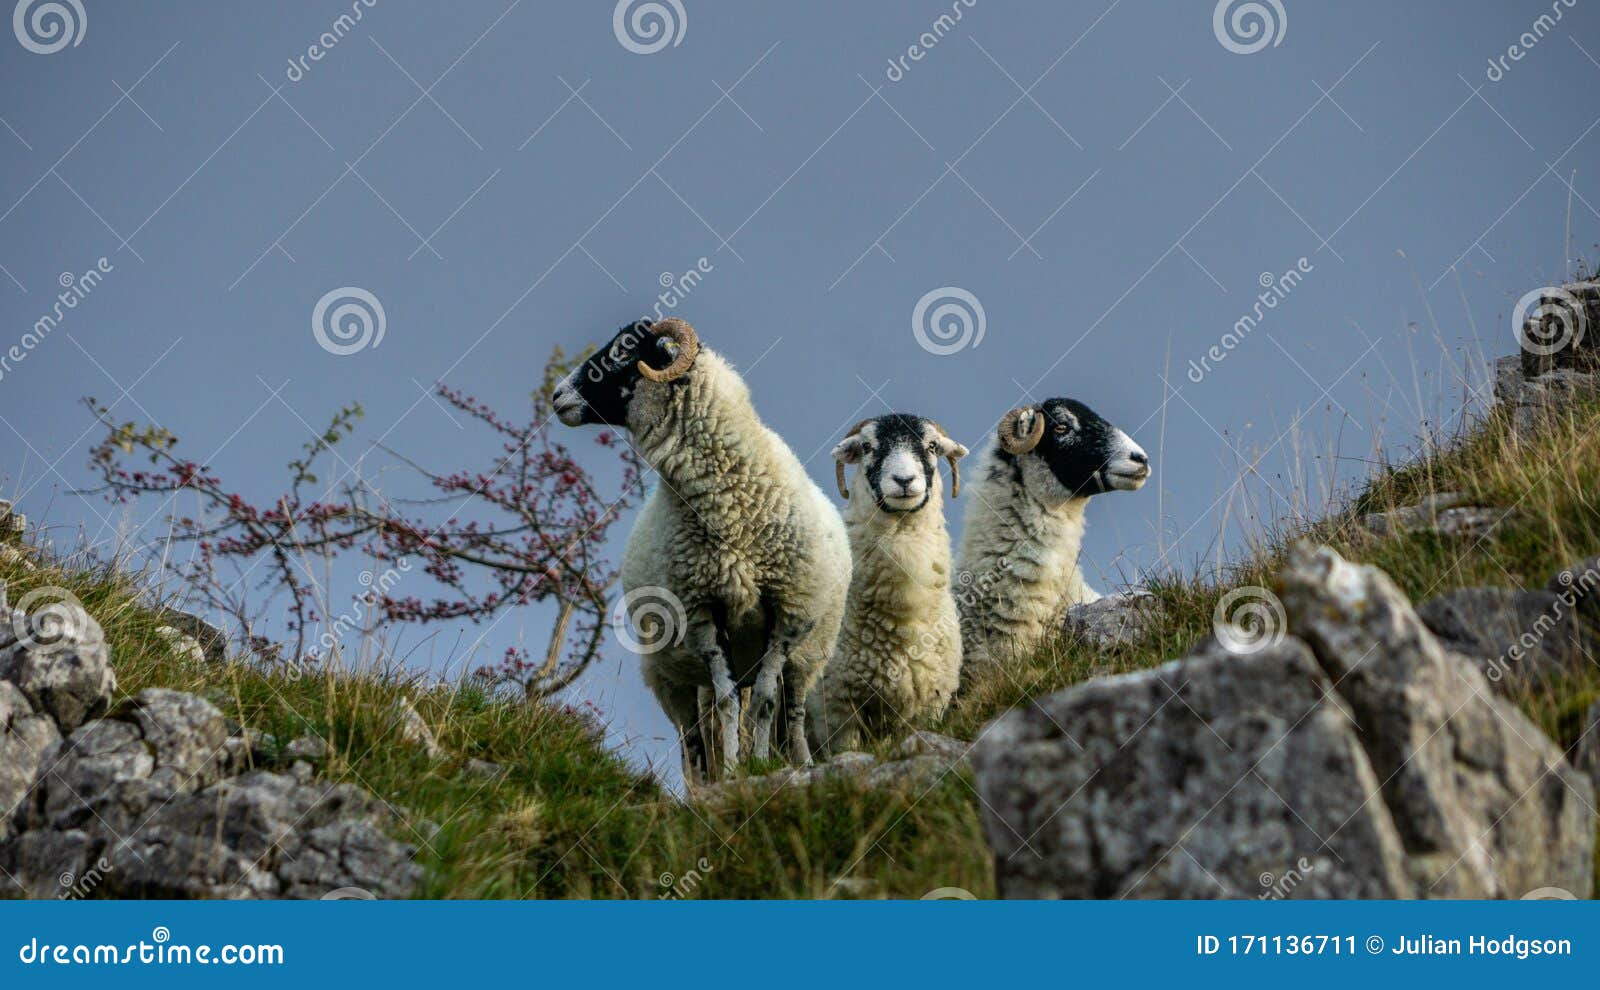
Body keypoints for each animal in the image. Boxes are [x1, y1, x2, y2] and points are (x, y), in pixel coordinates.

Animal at [553, 318, 850, 781]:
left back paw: (800, 762)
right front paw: (731, 771)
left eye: (623, 352)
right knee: (692, 737)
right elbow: (728, 702)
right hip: (669, 675)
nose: (557, 397)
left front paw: (759, 764)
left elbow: (764, 702)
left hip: (806, 661)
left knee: (793, 715)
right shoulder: (702, 614)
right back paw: (703, 784)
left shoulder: (789, 613)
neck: (731, 509)